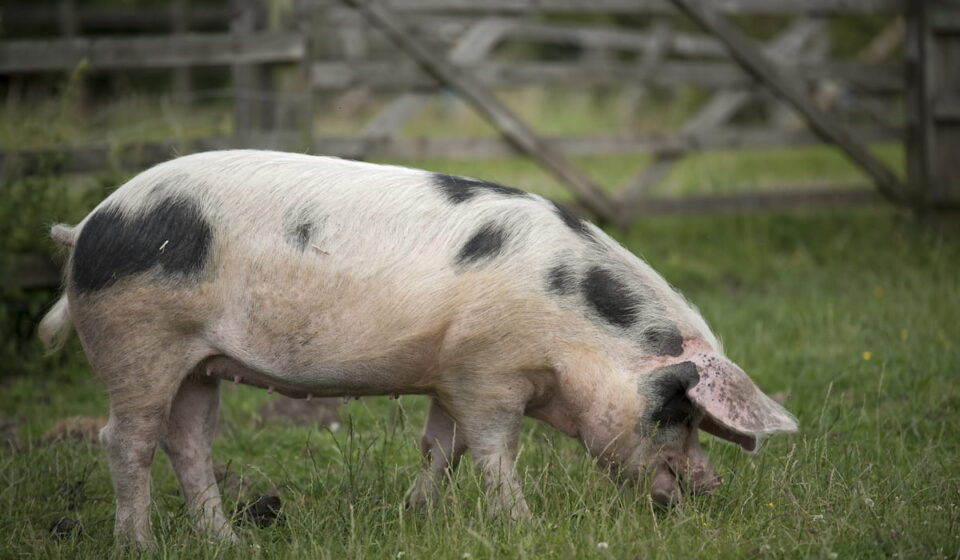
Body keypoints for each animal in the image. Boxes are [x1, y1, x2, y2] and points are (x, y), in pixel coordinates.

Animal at [38, 150, 797, 547]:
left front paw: (415, 516)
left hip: (199, 362)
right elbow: (494, 451)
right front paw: (522, 527)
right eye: (676, 408)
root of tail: (88, 225)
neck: (573, 333)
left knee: (188, 440)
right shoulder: (488, 372)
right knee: (125, 439)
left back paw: (227, 542)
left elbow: (442, 449)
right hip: (139, 338)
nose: (709, 485)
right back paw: (138, 544)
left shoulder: (448, 374)